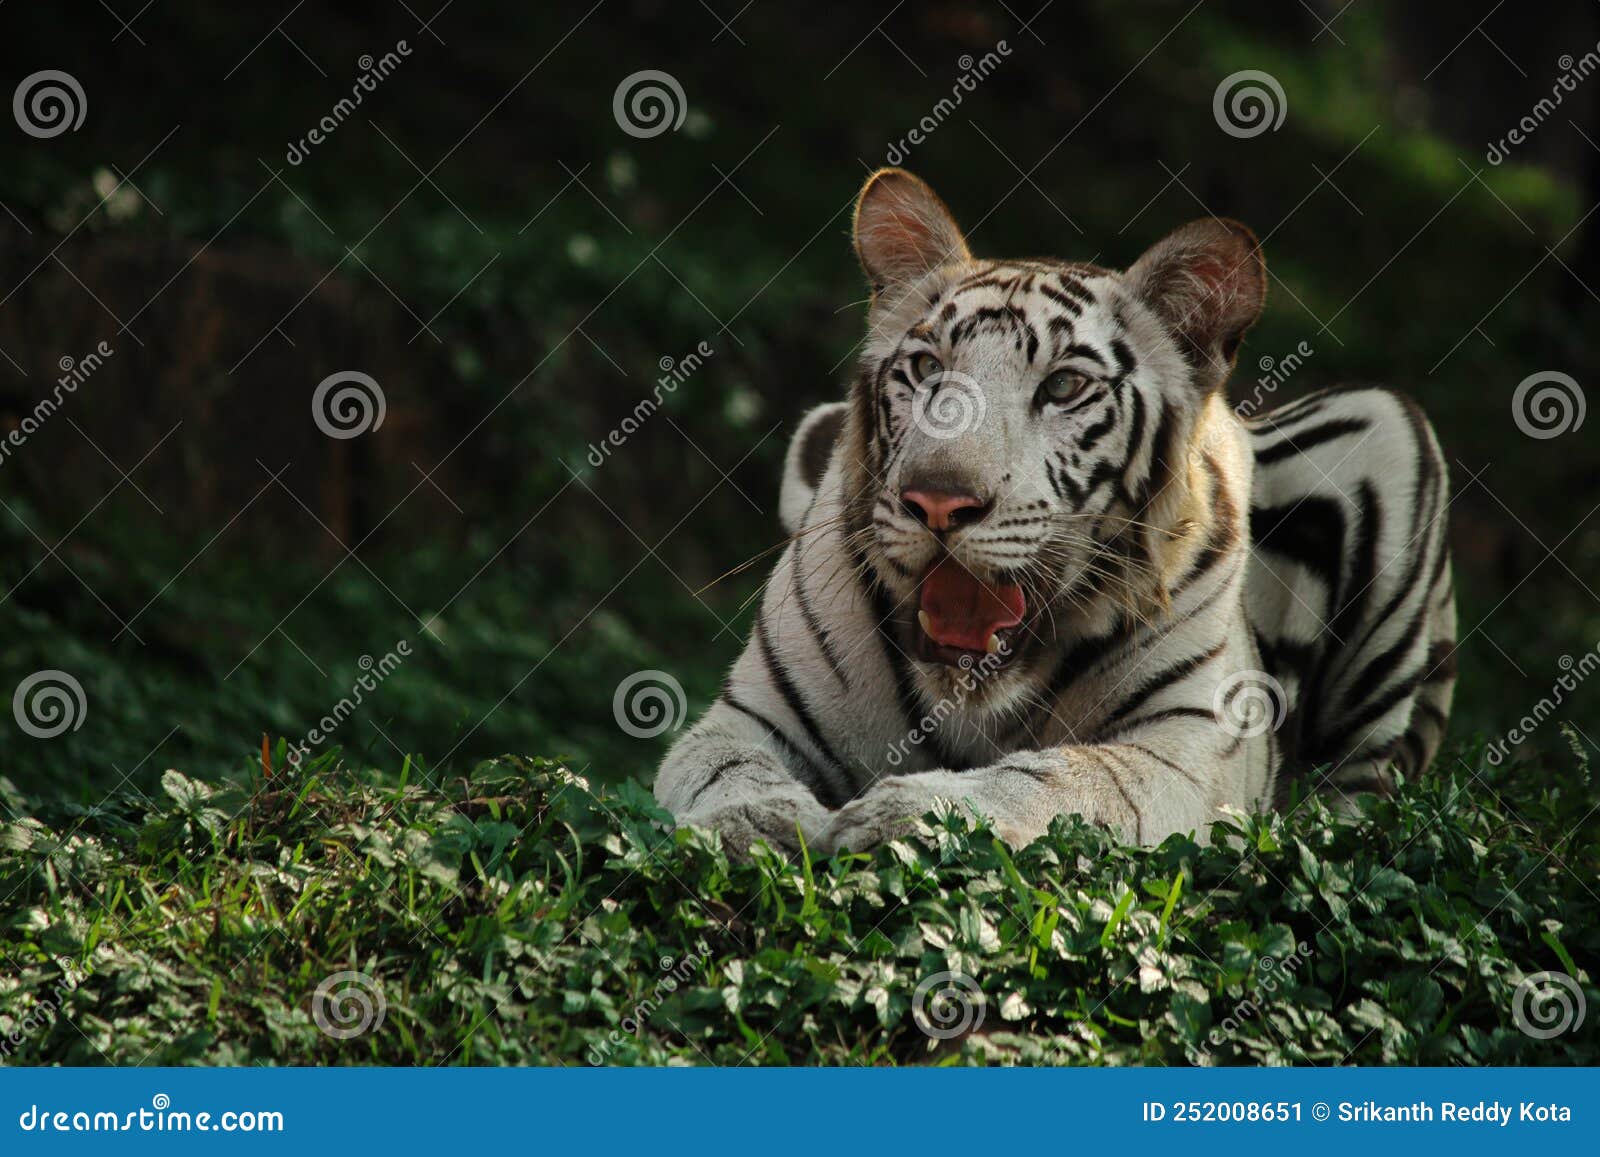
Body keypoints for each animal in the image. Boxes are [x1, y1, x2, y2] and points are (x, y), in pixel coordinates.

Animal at [654, 167, 1457, 855]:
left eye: (1064, 386)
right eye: (926, 369)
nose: (937, 499)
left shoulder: (1184, 746)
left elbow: (1064, 778)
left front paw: (910, 812)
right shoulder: (752, 717)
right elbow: (725, 770)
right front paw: (752, 822)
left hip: (1390, 429)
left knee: (1357, 798)